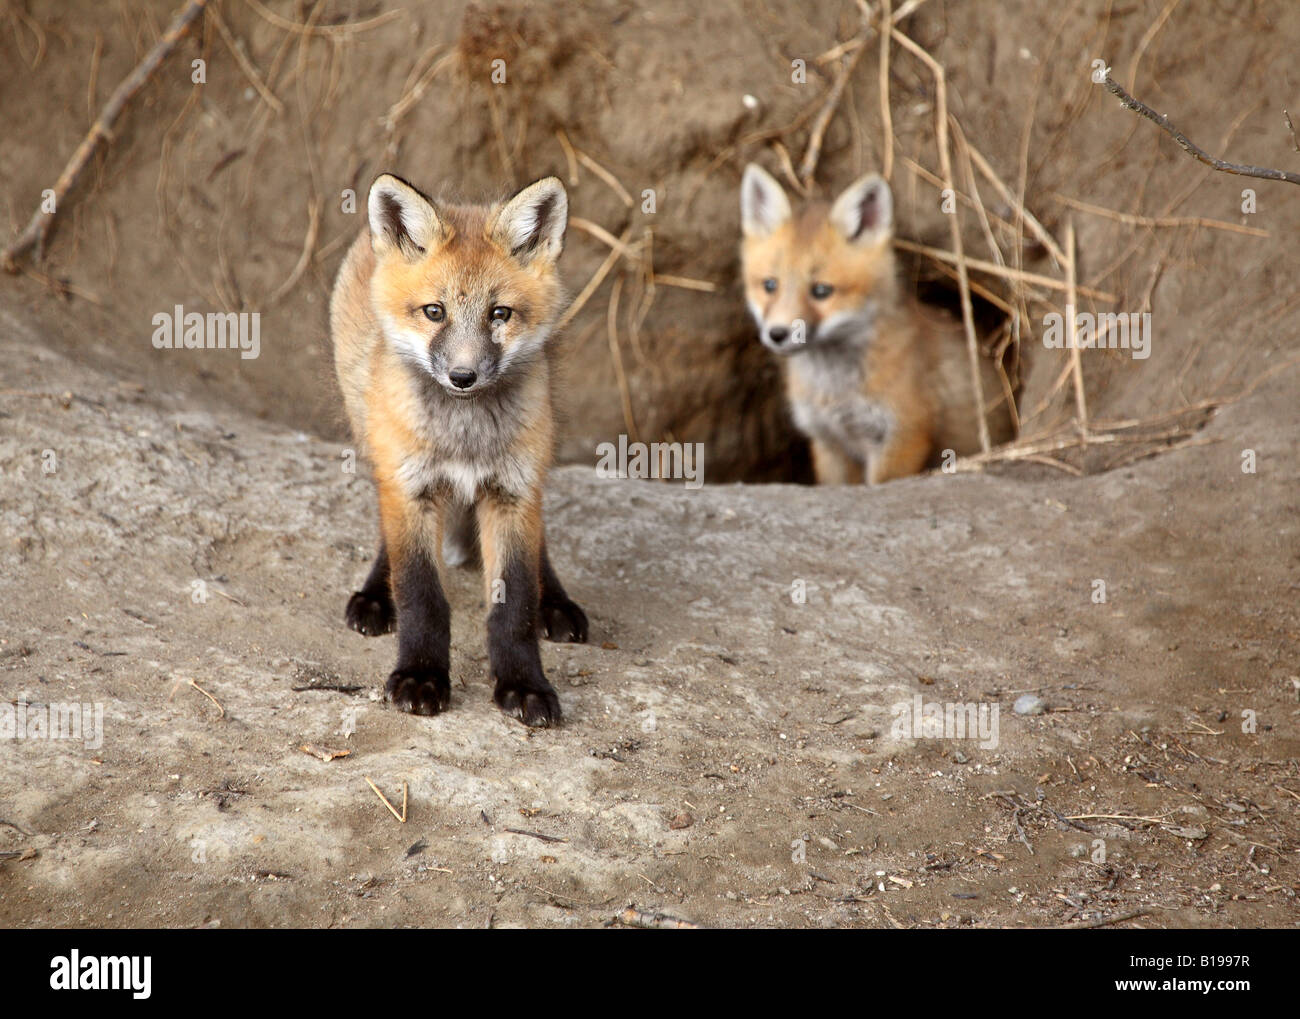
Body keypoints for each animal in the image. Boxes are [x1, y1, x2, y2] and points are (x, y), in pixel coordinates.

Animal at [330, 173, 588, 728]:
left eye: (499, 314)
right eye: (435, 312)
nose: (463, 377)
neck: (465, 440)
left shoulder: (512, 491)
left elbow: (515, 604)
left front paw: (524, 684)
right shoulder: (410, 487)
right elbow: (422, 596)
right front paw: (421, 677)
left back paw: (557, 601)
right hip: (374, 442)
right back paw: (375, 595)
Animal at [739, 163, 1015, 485]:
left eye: (821, 291)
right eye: (770, 285)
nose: (777, 333)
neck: (836, 389)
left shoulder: (903, 435)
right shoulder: (828, 441)